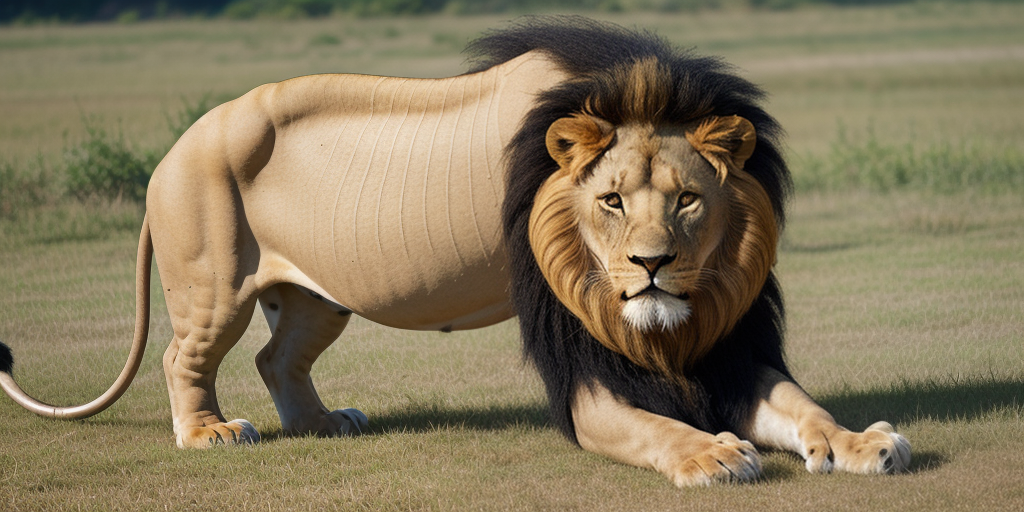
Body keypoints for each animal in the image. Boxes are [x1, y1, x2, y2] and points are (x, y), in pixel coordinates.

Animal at [0, 16, 909, 485]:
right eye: (612, 201)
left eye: (688, 199)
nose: (652, 266)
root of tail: (171, 148)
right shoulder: (583, 366)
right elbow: (653, 427)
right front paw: (713, 451)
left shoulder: (728, 339)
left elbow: (800, 404)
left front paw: (863, 441)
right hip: (213, 274)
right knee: (185, 358)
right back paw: (212, 435)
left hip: (320, 296)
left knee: (275, 358)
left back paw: (325, 424)